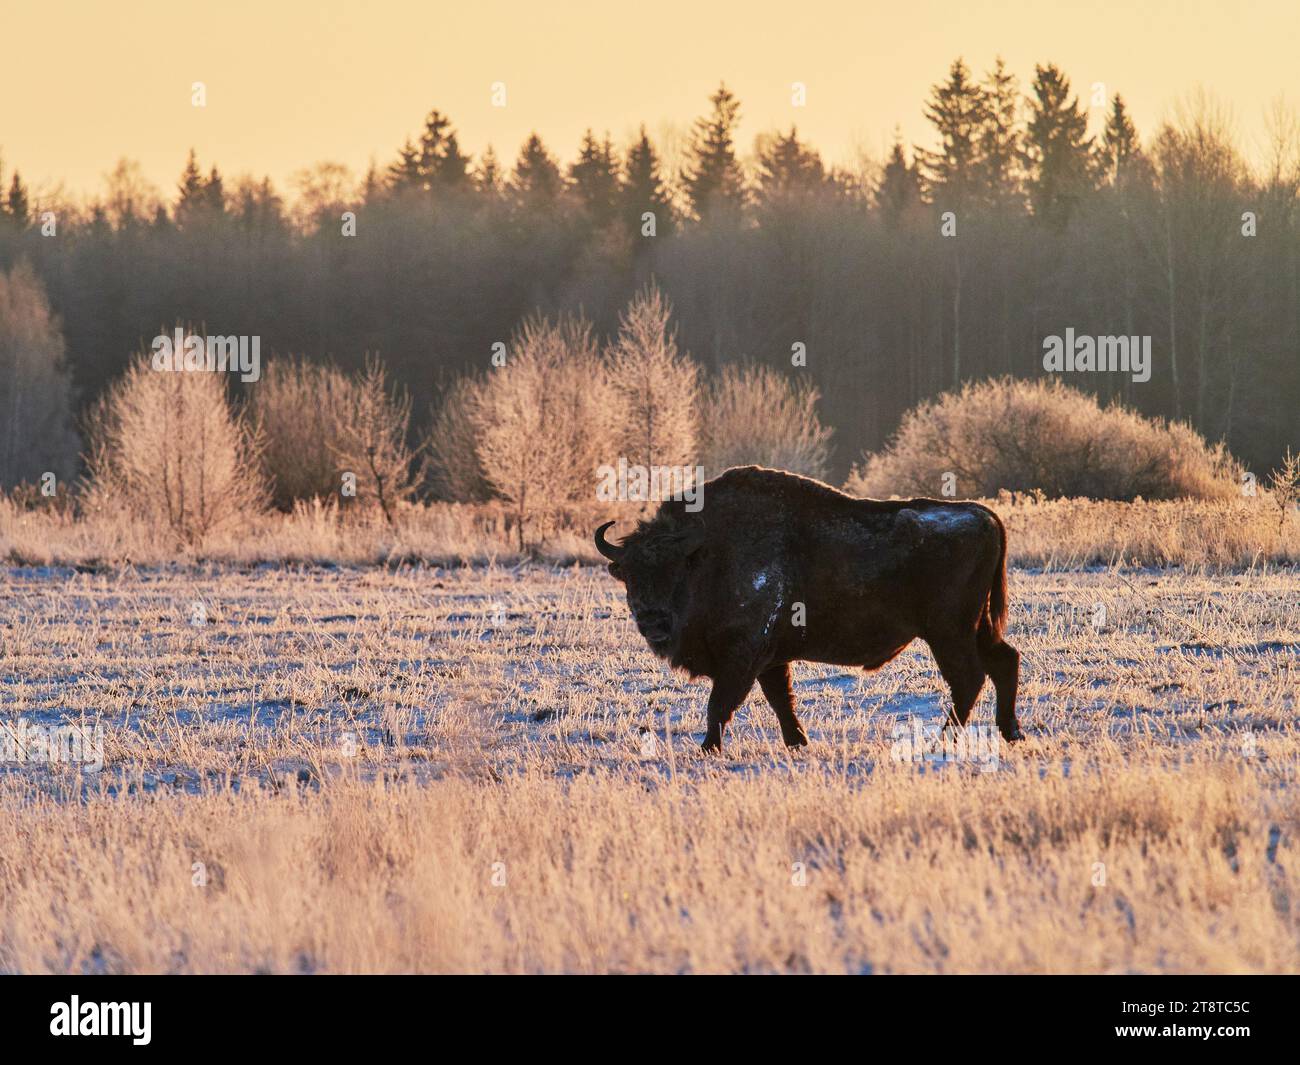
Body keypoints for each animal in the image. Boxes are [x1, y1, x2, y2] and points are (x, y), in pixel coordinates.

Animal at [595, 466, 1023, 752]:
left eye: (675, 571)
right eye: (629, 575)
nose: (652, 620)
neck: (708, 554)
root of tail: (983, 514)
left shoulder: (742, 655)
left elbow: (720, 703)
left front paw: (707, 747)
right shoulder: (770, 659)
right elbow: (780, 700)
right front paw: (797, 743)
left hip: (948, 632)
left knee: (969, 678)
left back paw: (943, 740)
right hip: (976, 627)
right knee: (1004, 662)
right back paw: (1010, 733)